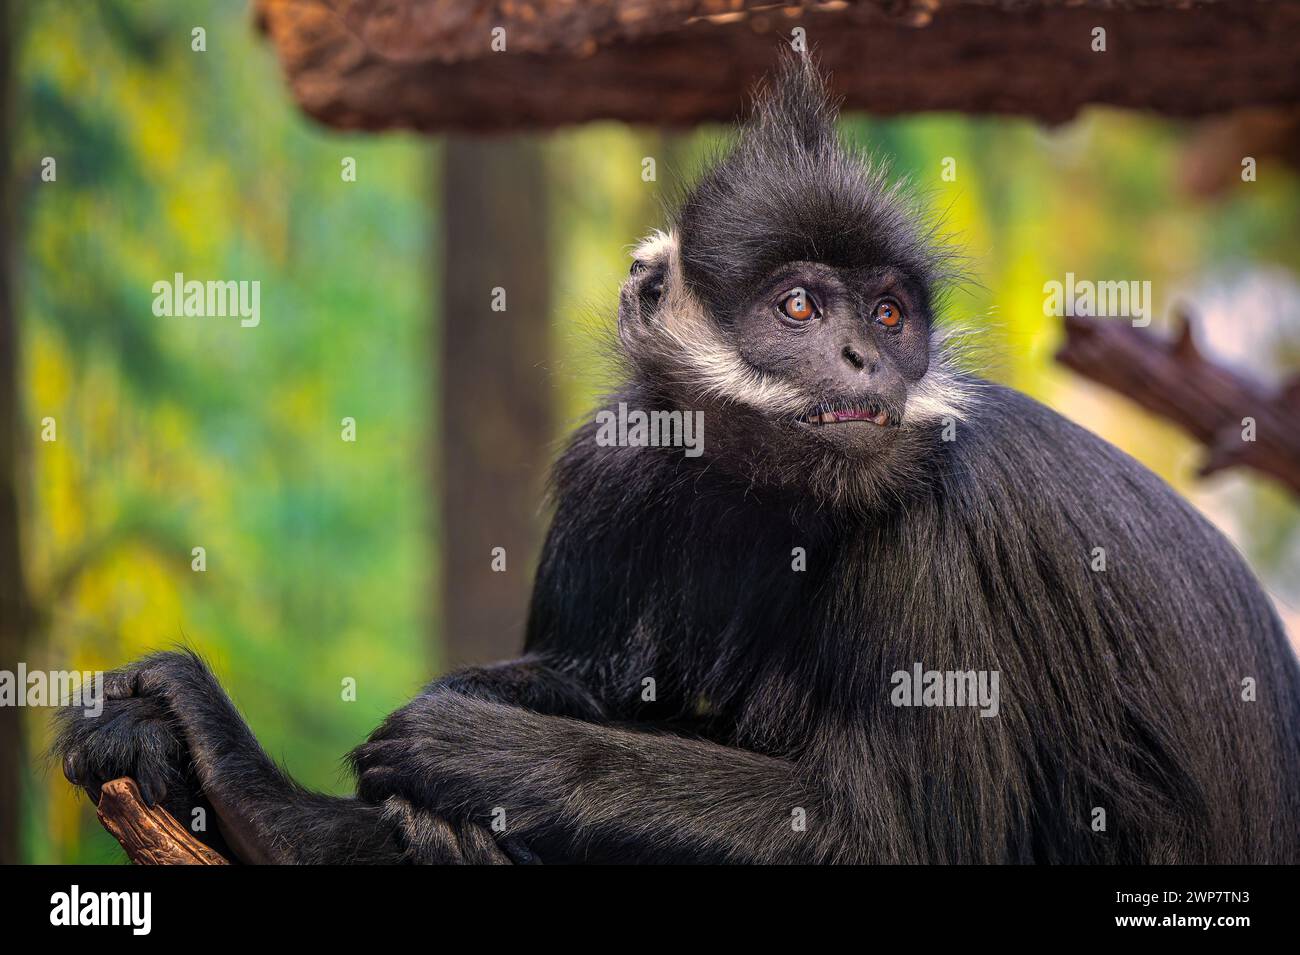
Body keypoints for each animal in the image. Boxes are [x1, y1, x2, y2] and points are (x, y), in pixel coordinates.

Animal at [56, 55, 1300, 864]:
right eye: (799, 307)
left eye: (888, 314)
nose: (865, 356)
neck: (765, 491)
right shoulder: (610, 467)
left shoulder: (938, 520)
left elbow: (896, 839)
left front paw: (472, 756)